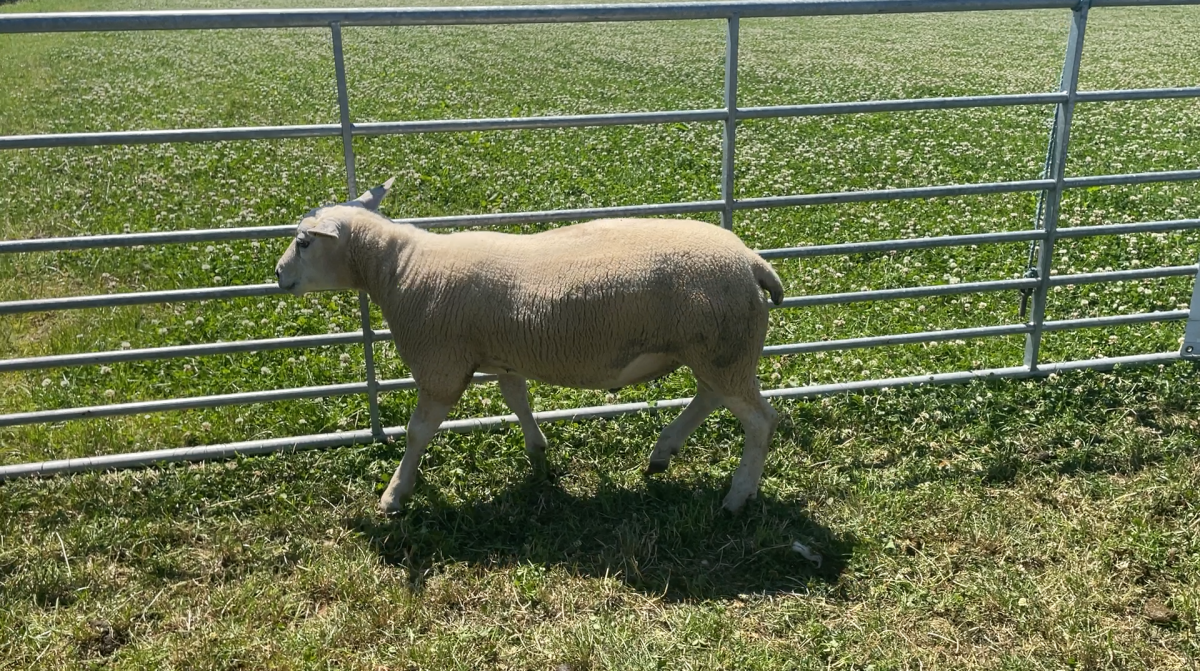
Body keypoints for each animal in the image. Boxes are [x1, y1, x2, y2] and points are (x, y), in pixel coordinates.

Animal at [274, 179, 785, 513]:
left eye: (303, 242)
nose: (278, 275)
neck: (403, 269)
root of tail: (752, 261)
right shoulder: (502, 355)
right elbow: (517, 400)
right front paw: (539, 456)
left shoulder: (441, 365)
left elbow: (418, 432)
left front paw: (395, 494)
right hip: (718, 350)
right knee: (710, 396)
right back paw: (663, 452)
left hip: (723, 347)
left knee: (759, 420)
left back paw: (737, 496)